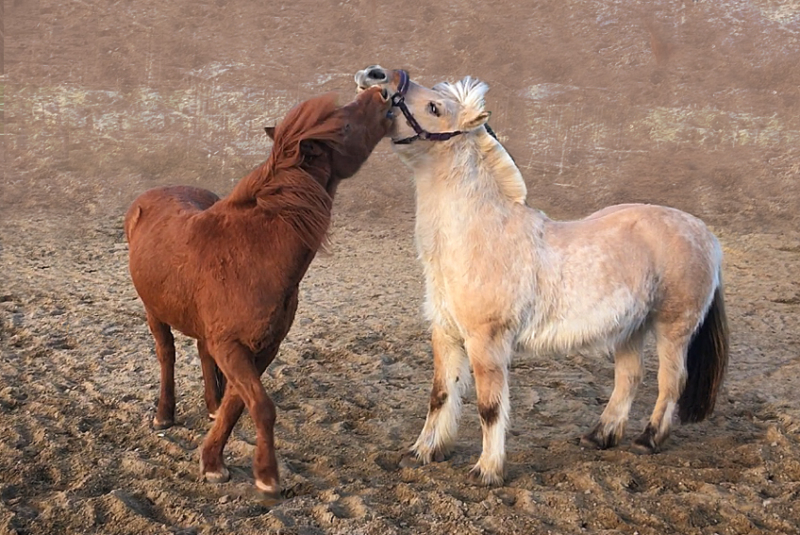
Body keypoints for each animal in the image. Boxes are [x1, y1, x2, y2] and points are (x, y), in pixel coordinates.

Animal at [124, 86, 391, 498]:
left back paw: (210, 404)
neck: (255, 252)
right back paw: (163, 415)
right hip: (155, 312)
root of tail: (154, 193)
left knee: (202, 353)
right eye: (343, 124)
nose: (382, 92)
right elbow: (261, 406)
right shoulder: (234, 346)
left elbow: (240, 403)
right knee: (166, 355)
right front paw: (263, 476)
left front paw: (215, 457)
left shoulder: (262, 347)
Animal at [355, 66, 729, 487]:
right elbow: (440, 395)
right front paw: (423, 452)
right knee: (630, 378)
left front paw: (487, 471)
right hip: (629, 328)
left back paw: (648, 440)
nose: (375, 75)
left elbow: (489, 407)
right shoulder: (446, 334)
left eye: (434, 107)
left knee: (671, 382)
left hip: (672, 328)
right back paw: (599, 436)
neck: (478, 236)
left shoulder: (486, 342)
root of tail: (706, 234)